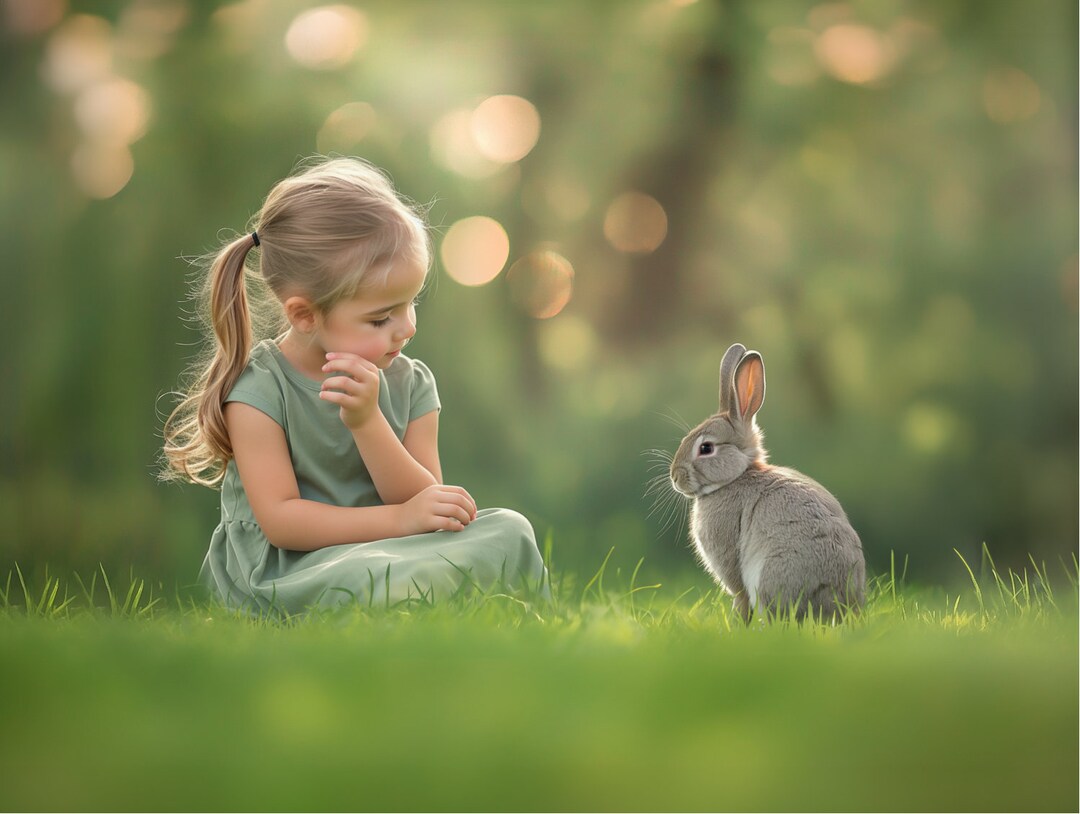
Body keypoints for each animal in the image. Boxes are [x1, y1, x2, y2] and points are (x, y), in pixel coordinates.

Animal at [669, 343, 865, 623]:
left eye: (706, 448)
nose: (675, 477)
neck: (735, 477)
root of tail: (836, 607)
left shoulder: (728, 554)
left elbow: (739, 595)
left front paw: (737, 623)